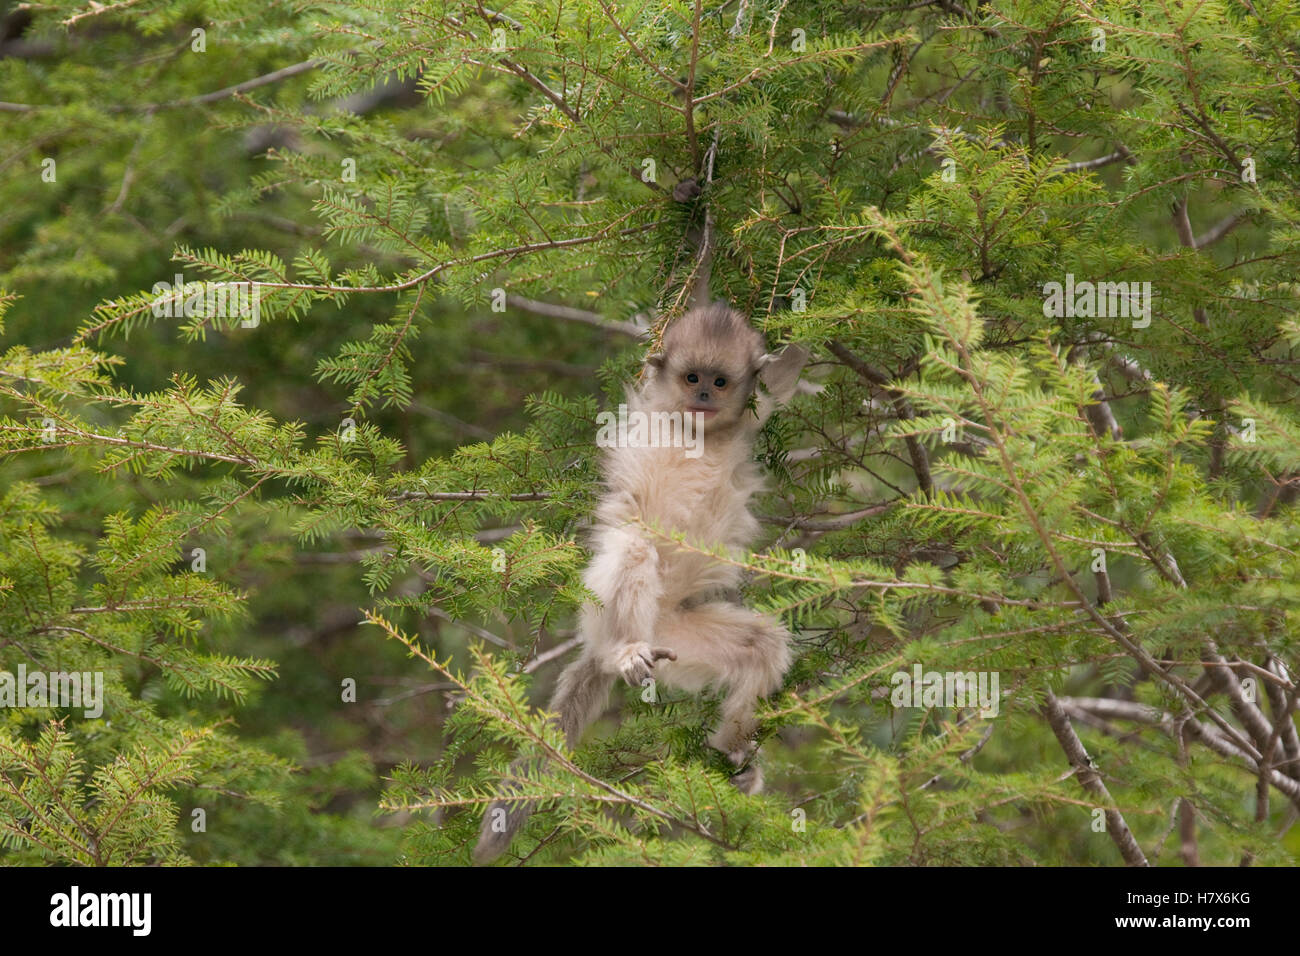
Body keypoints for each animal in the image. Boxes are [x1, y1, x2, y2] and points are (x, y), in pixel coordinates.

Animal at [473, 302, 808, 863]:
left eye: (719, 382)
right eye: (692, 378)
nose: (702, 397)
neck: (698, 433)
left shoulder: (748, 415)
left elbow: (772, 390)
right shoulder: (651, 409)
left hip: (677, 636)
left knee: (762, 646)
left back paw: (734, 755)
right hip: (611, 612)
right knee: (634, 548)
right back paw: (625, 655)